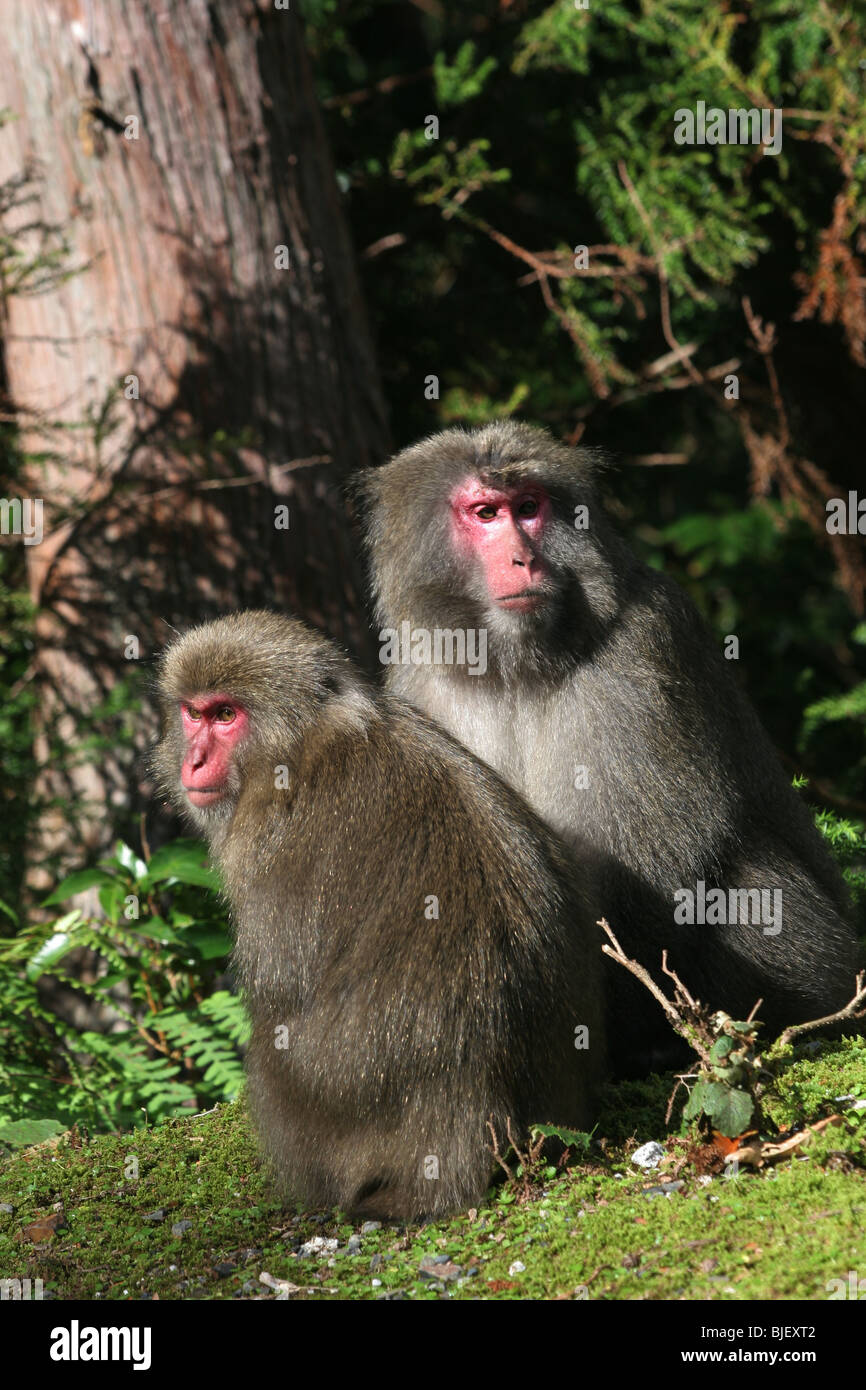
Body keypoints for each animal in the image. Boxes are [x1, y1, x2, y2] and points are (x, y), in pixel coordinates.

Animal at [153, 610, 604, 1221]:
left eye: (226, 715)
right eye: (192, 713)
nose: (193, 760)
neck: (303, 743)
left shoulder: (263, 842)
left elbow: (281, 992)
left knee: (275, 1054)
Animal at [358, 420, 863, 1074]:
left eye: (529, 507)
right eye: (485, 513)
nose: (524, 557)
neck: (513, 665)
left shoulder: (641, 650)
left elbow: (646, 873)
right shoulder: (419, 678)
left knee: (740, 876)